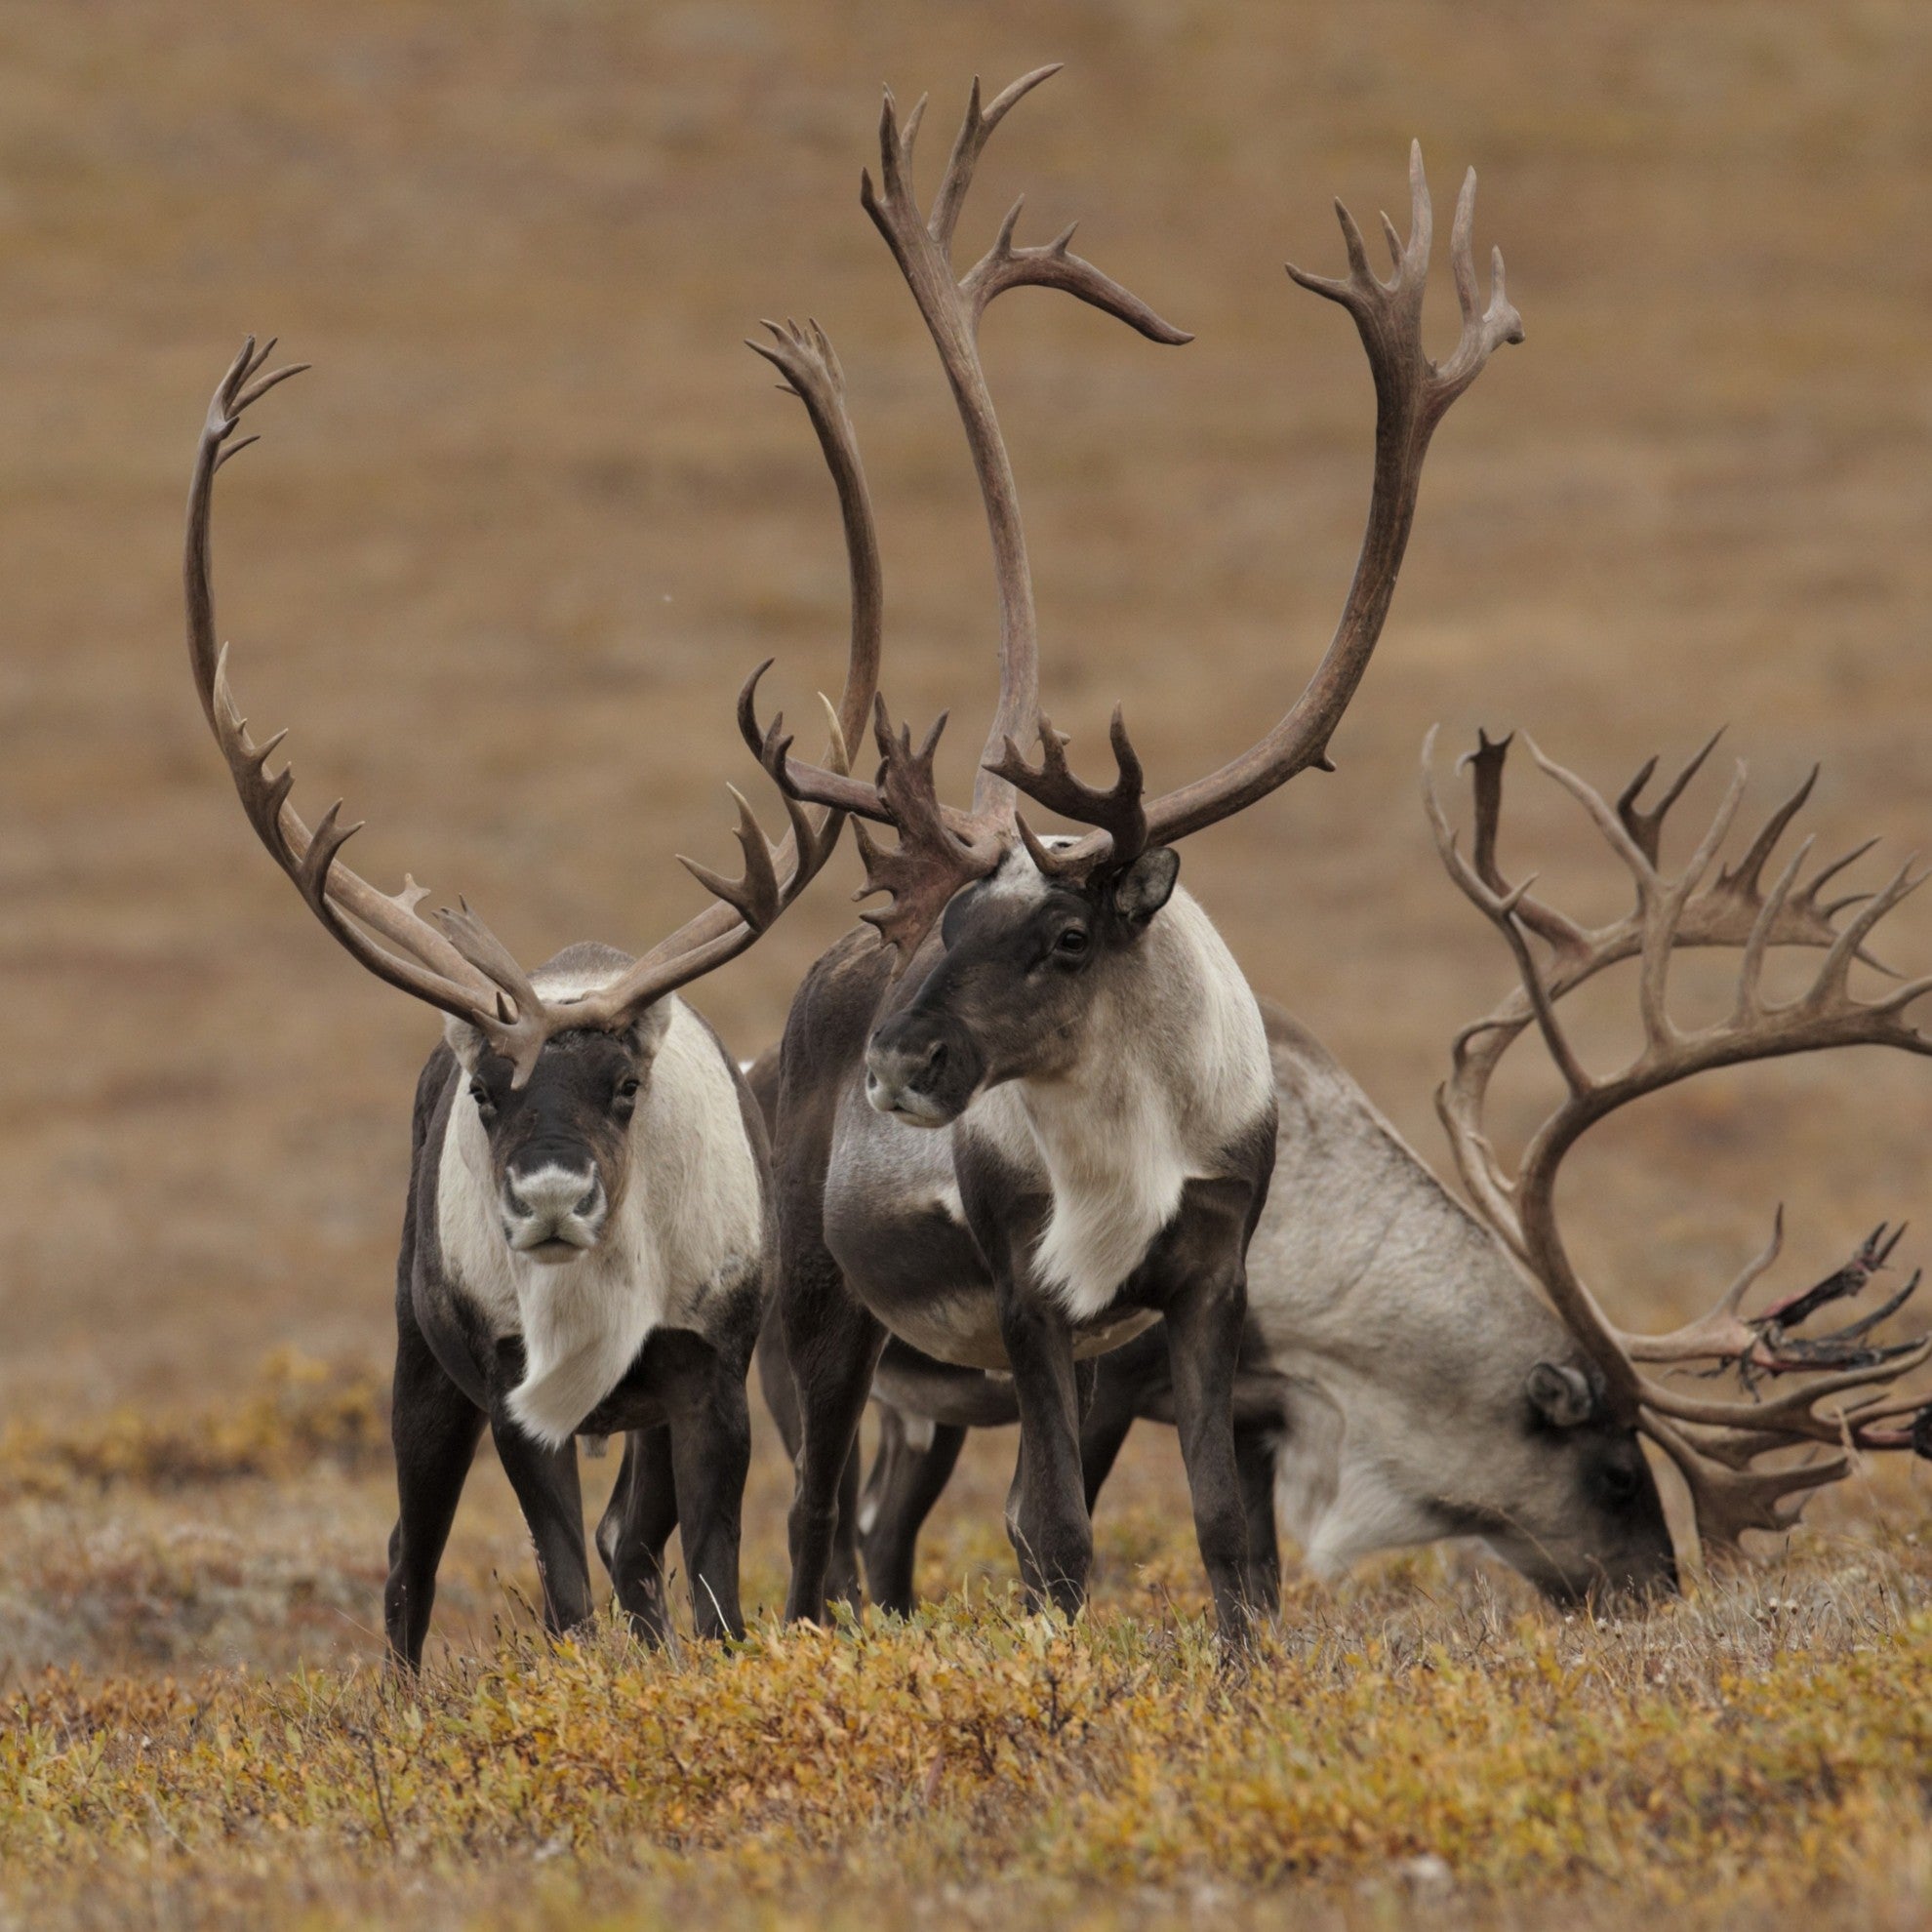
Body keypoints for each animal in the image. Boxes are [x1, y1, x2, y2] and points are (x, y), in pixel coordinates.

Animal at [182, 319, 883, 1666]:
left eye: (624, 1084)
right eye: (488, 1095)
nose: (552, 1196)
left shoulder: (709, 1379)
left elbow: (714, 1588)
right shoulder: (510, 1392)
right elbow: (560, 1594)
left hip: (649, 1414)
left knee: (635, 1547)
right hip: (416, 1365)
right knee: (409, 1560)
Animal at [739, 66, 1521, 1638]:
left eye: (1067, 935)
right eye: (948, 927)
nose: (901, 1064)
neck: (1128, 1143)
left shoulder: (1206, 1288)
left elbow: (1228, 1530)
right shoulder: (1036, 1293)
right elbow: (1051, 1537)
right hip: (823, 1298)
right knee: (810, 1524)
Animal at [798, 732, 1932, 1613]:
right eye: (1615, 1473)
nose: (1658, 1591)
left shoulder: (1251, 1414)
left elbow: (1251, 1561)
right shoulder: (1109, 1370)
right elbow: (1045, 1529)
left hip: (922, 1402)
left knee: (881, 1526)